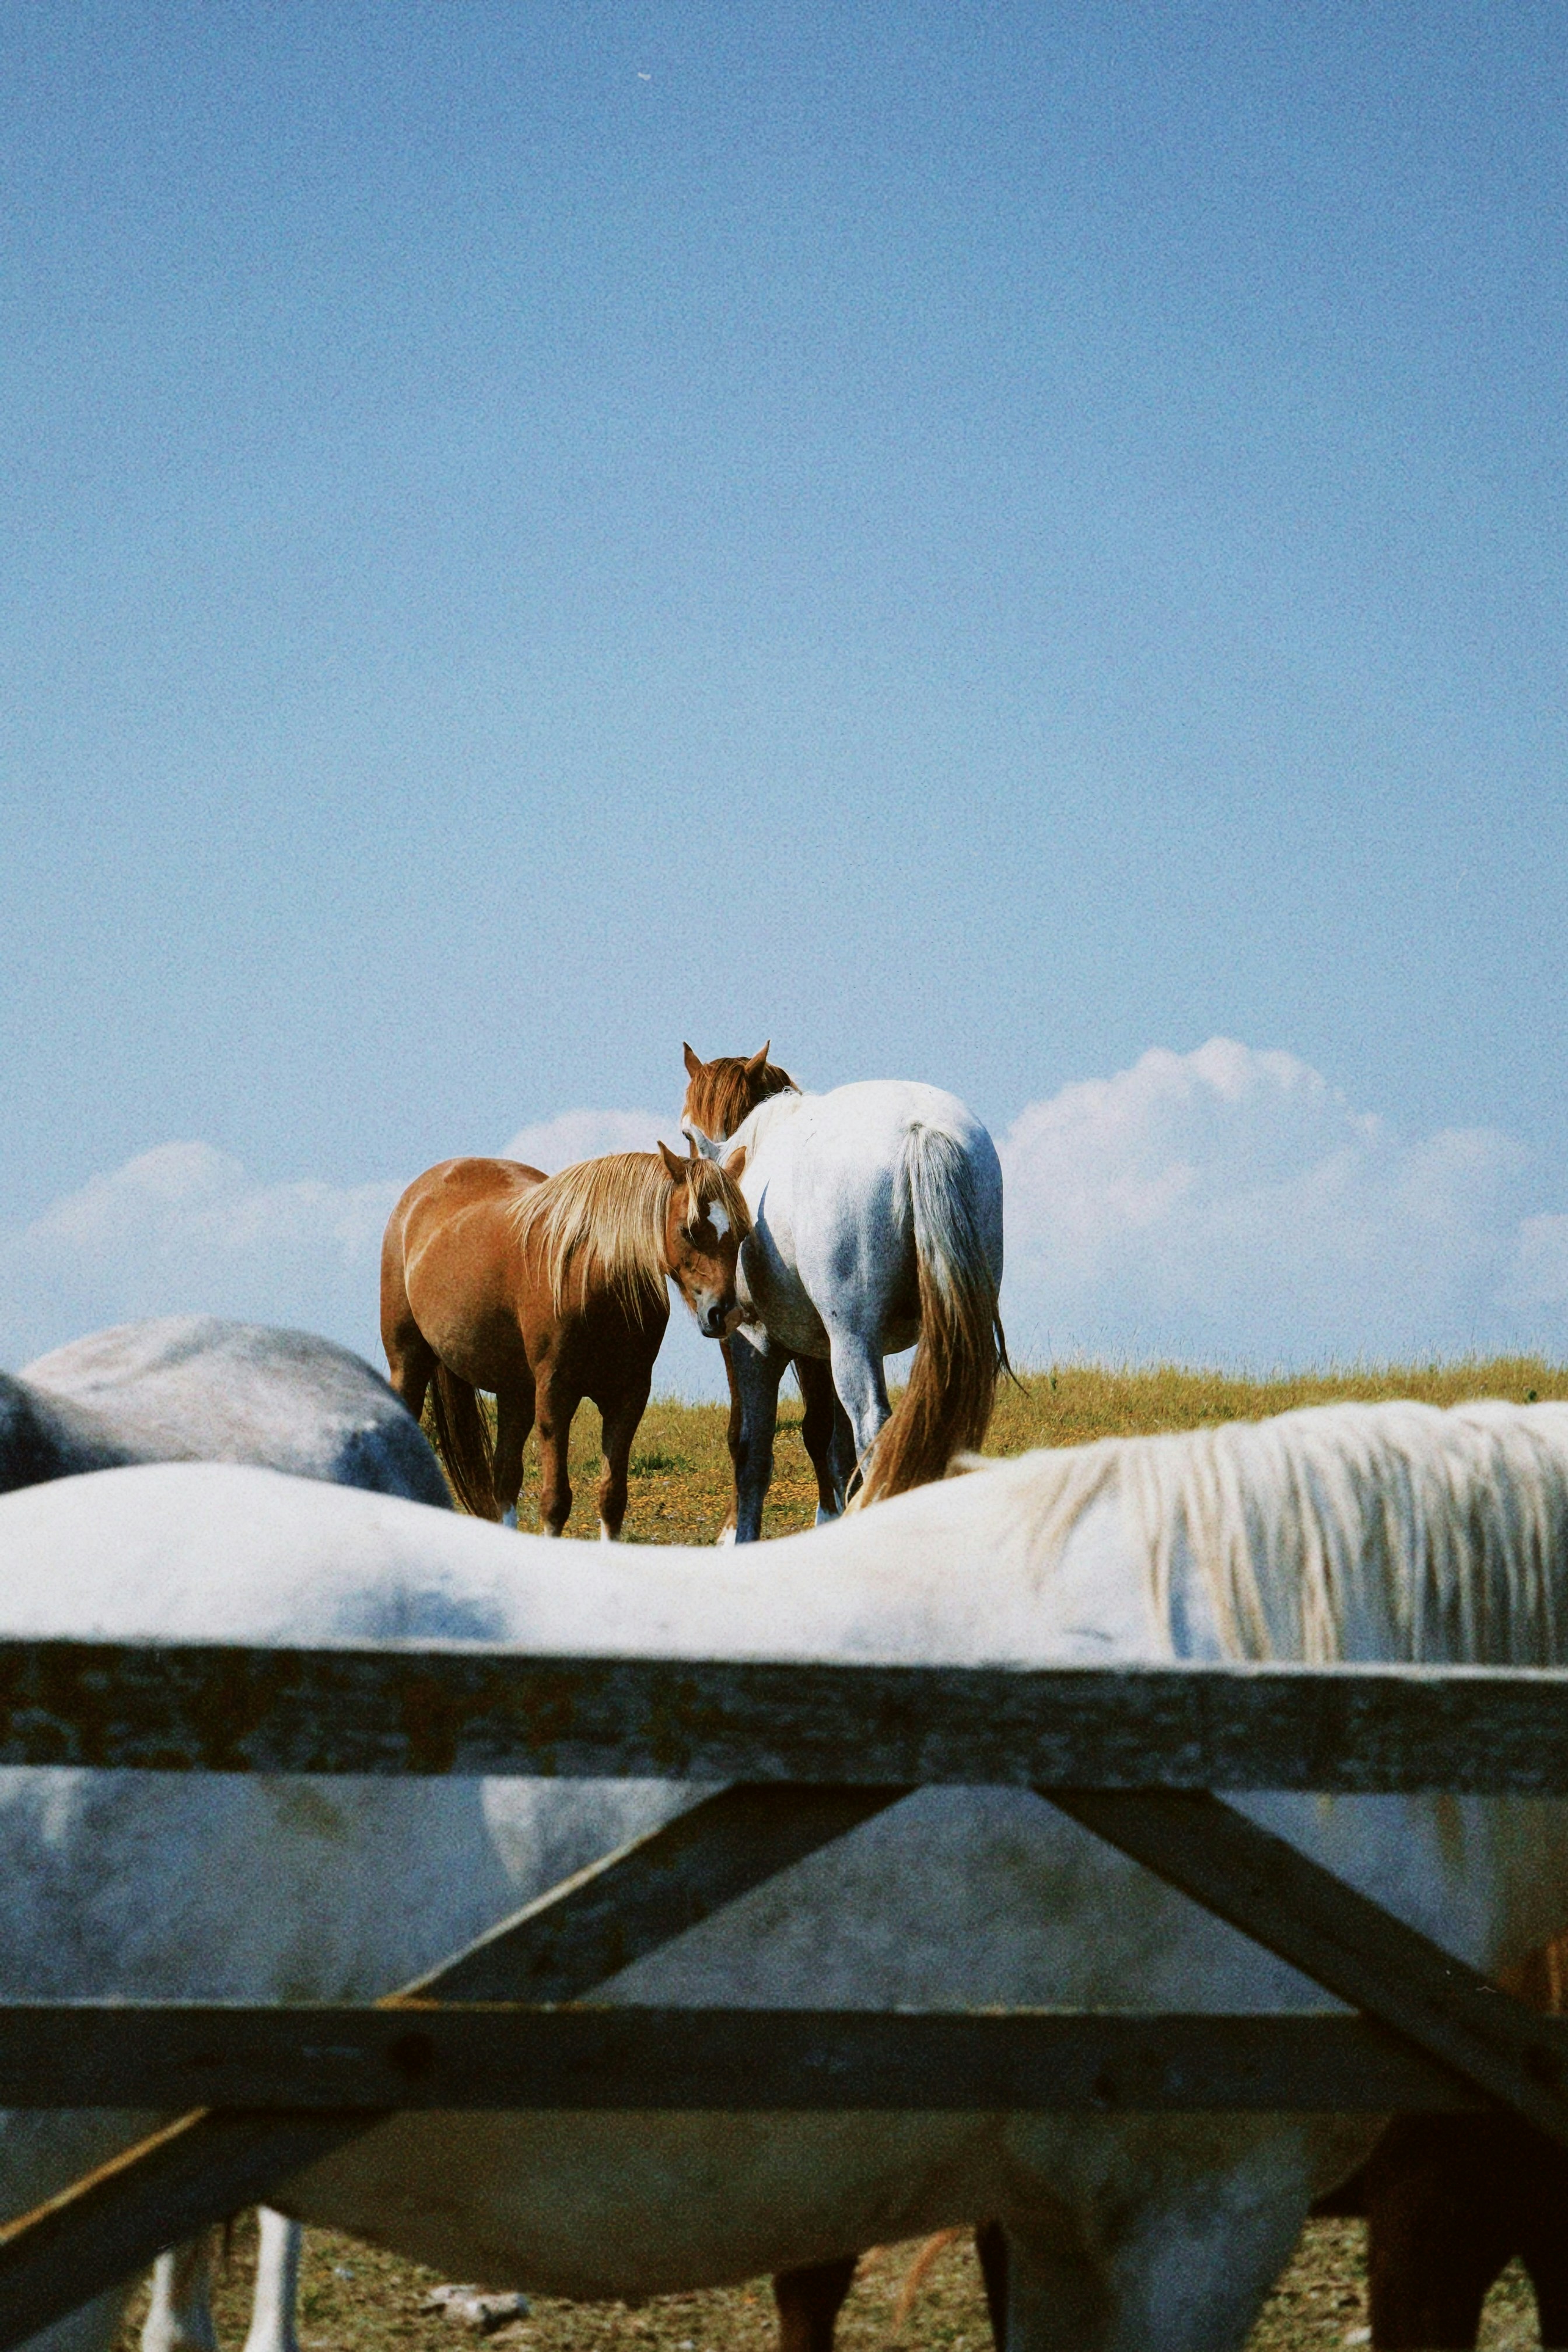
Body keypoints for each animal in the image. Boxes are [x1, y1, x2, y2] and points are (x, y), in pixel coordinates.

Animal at [379, 1143, 749, 1537]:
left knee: (505, 1479)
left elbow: (612, 1498)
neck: (594, 1278)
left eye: (741, 1233)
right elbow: (555, 1502)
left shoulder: (628, 1398)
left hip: (515, 1392)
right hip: (408, 1366)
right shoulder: (555, 1395)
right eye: (689, 1230)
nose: (724, 1313)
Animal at [678, 1042, 1008, 1539]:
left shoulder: (754, 1341)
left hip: (853, 1341)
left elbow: (752, 1449)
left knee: (871, 1426)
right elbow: (832, 1446)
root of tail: (920, 1129)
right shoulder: (818, 1347)